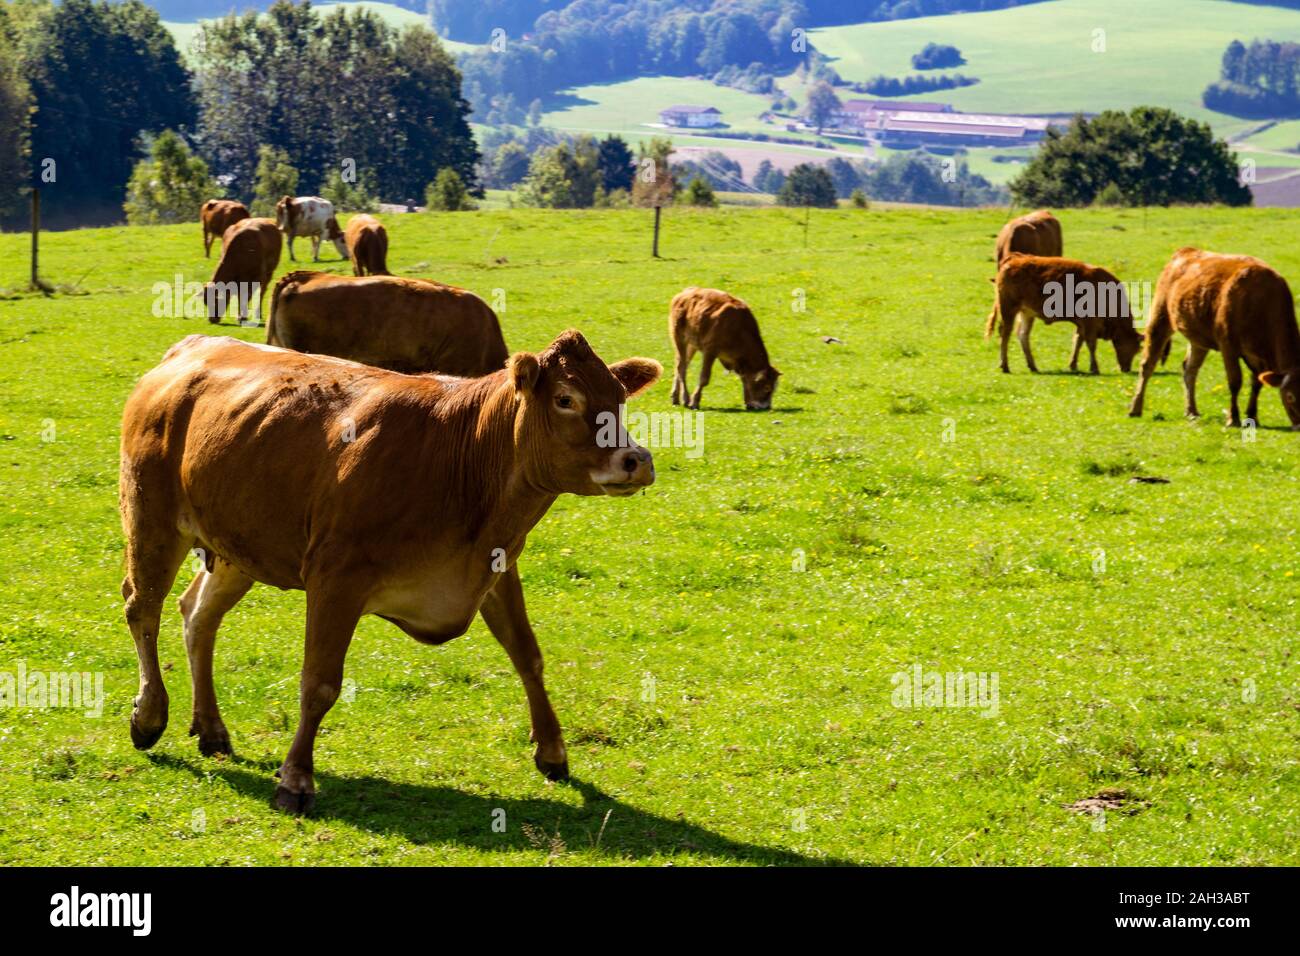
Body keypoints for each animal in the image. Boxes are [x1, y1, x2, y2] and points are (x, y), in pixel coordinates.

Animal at [119, 330, 661, 812]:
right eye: (566, 399)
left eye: (618, 397)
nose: (636, 459)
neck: (462, 456)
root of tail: (189, 349)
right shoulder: (335, 577)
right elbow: (319, 683)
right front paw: (296, 780)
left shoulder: (496, 569)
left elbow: (528, 657)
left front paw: (552, 751)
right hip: (152, 520)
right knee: (142, 608)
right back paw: (150, 715)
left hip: (238, 545)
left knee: (198, 615)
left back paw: (211, 728)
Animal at [986, 253, 1141, 375]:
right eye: (1133, 348)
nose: (1126, 369)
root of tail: (1014, 259)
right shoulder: (1089, 322)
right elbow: (1091, 344)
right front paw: (1094, 368)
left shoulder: (1082, 324)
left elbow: (1078, 342)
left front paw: (1073, 365)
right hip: (1008, 310)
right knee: (1005, 334)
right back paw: (1005, 366)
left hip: (1027, 313)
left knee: (1023, 335)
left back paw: (1033, 366)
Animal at [1128, 248, 1300, 429]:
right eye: (1290, 396)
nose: (1298, 426)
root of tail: (1186, 251)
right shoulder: (1228, 346)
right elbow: (1235, 381)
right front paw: (1233, 418)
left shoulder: (1257, 357)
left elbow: (1256, 383)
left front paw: (1252, 416)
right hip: (1160, 318)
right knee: (1147, 365)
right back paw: (1135, 408)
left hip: (1198, 338)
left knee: (1189, 369)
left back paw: (1191, 410)